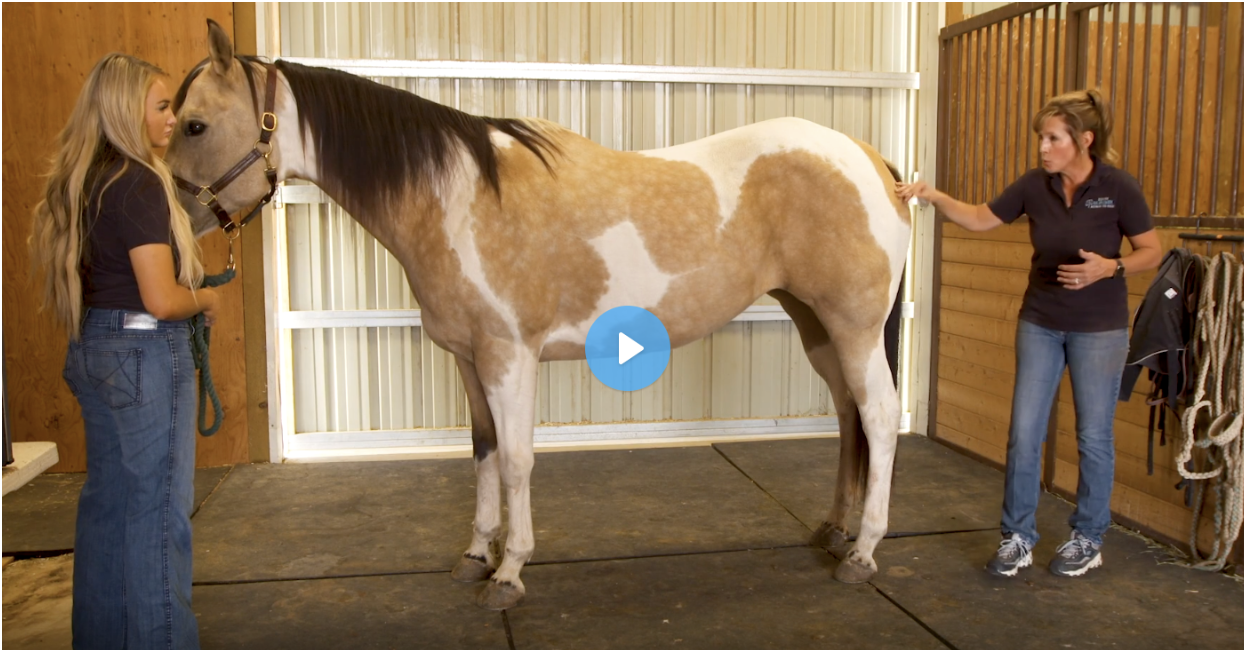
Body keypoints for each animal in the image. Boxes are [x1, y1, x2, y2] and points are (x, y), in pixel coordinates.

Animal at [168, 20, 911, 611]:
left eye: (195, 124)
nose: (174, 234)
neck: (457, 199)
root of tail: (877, 164)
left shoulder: (508, 356)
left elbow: (519, 459)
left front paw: (511, 571)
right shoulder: (469, 360)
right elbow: (483, 452)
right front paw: (476, 556)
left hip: (853, 328)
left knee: (878, 416)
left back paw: (862, 553)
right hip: (818, 328)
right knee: (849, 417)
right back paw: (834, 531)